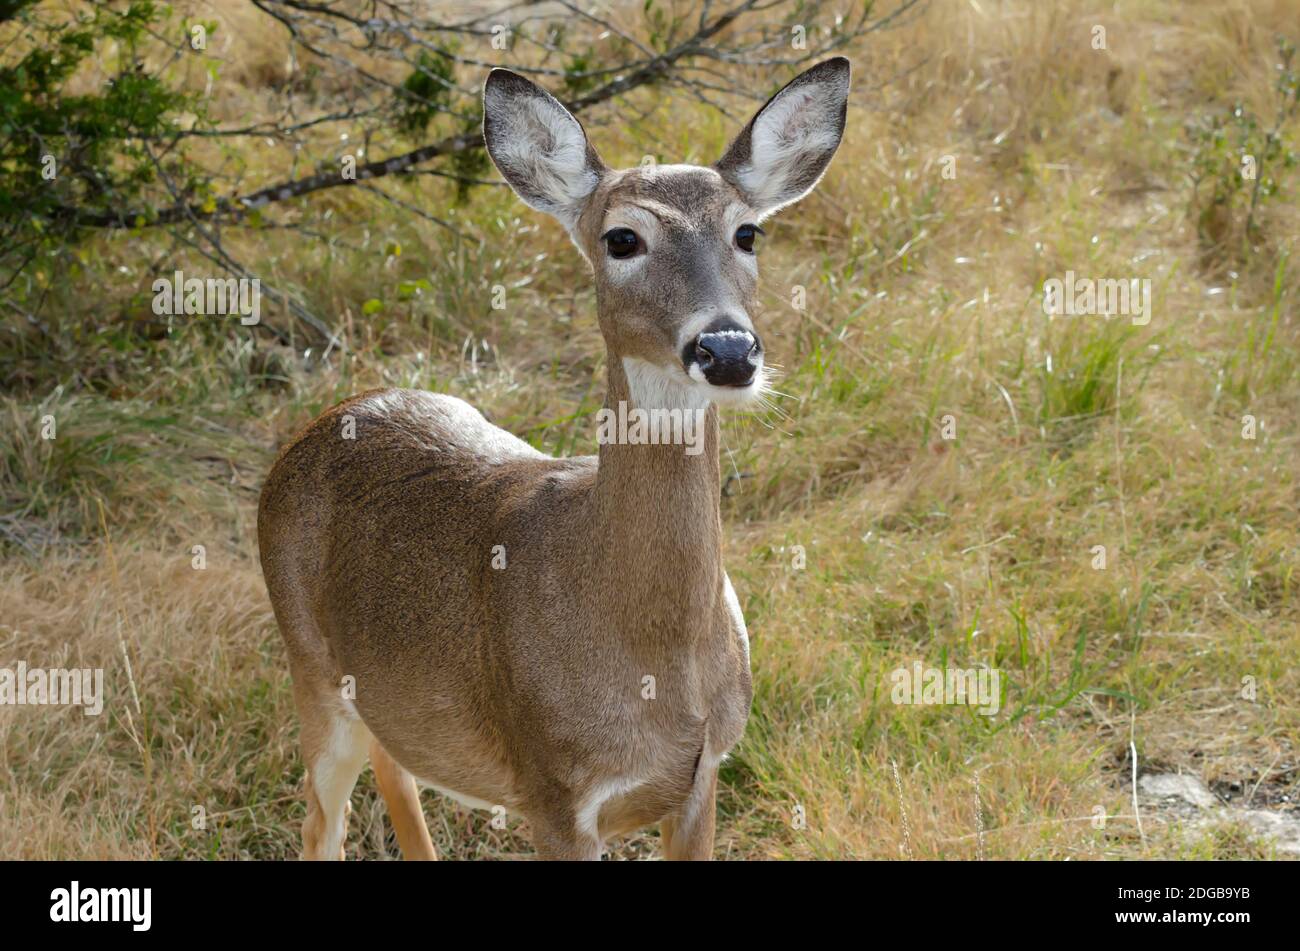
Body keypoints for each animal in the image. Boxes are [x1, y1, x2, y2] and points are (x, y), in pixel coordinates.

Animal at [257, 57, 850, 860]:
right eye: (622, 238)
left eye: (748, 231)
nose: (727, 349)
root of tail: (321, 423)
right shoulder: (553, 788)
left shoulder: (706, 775)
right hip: (309, 669)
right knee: (322, 820)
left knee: (396, 771)